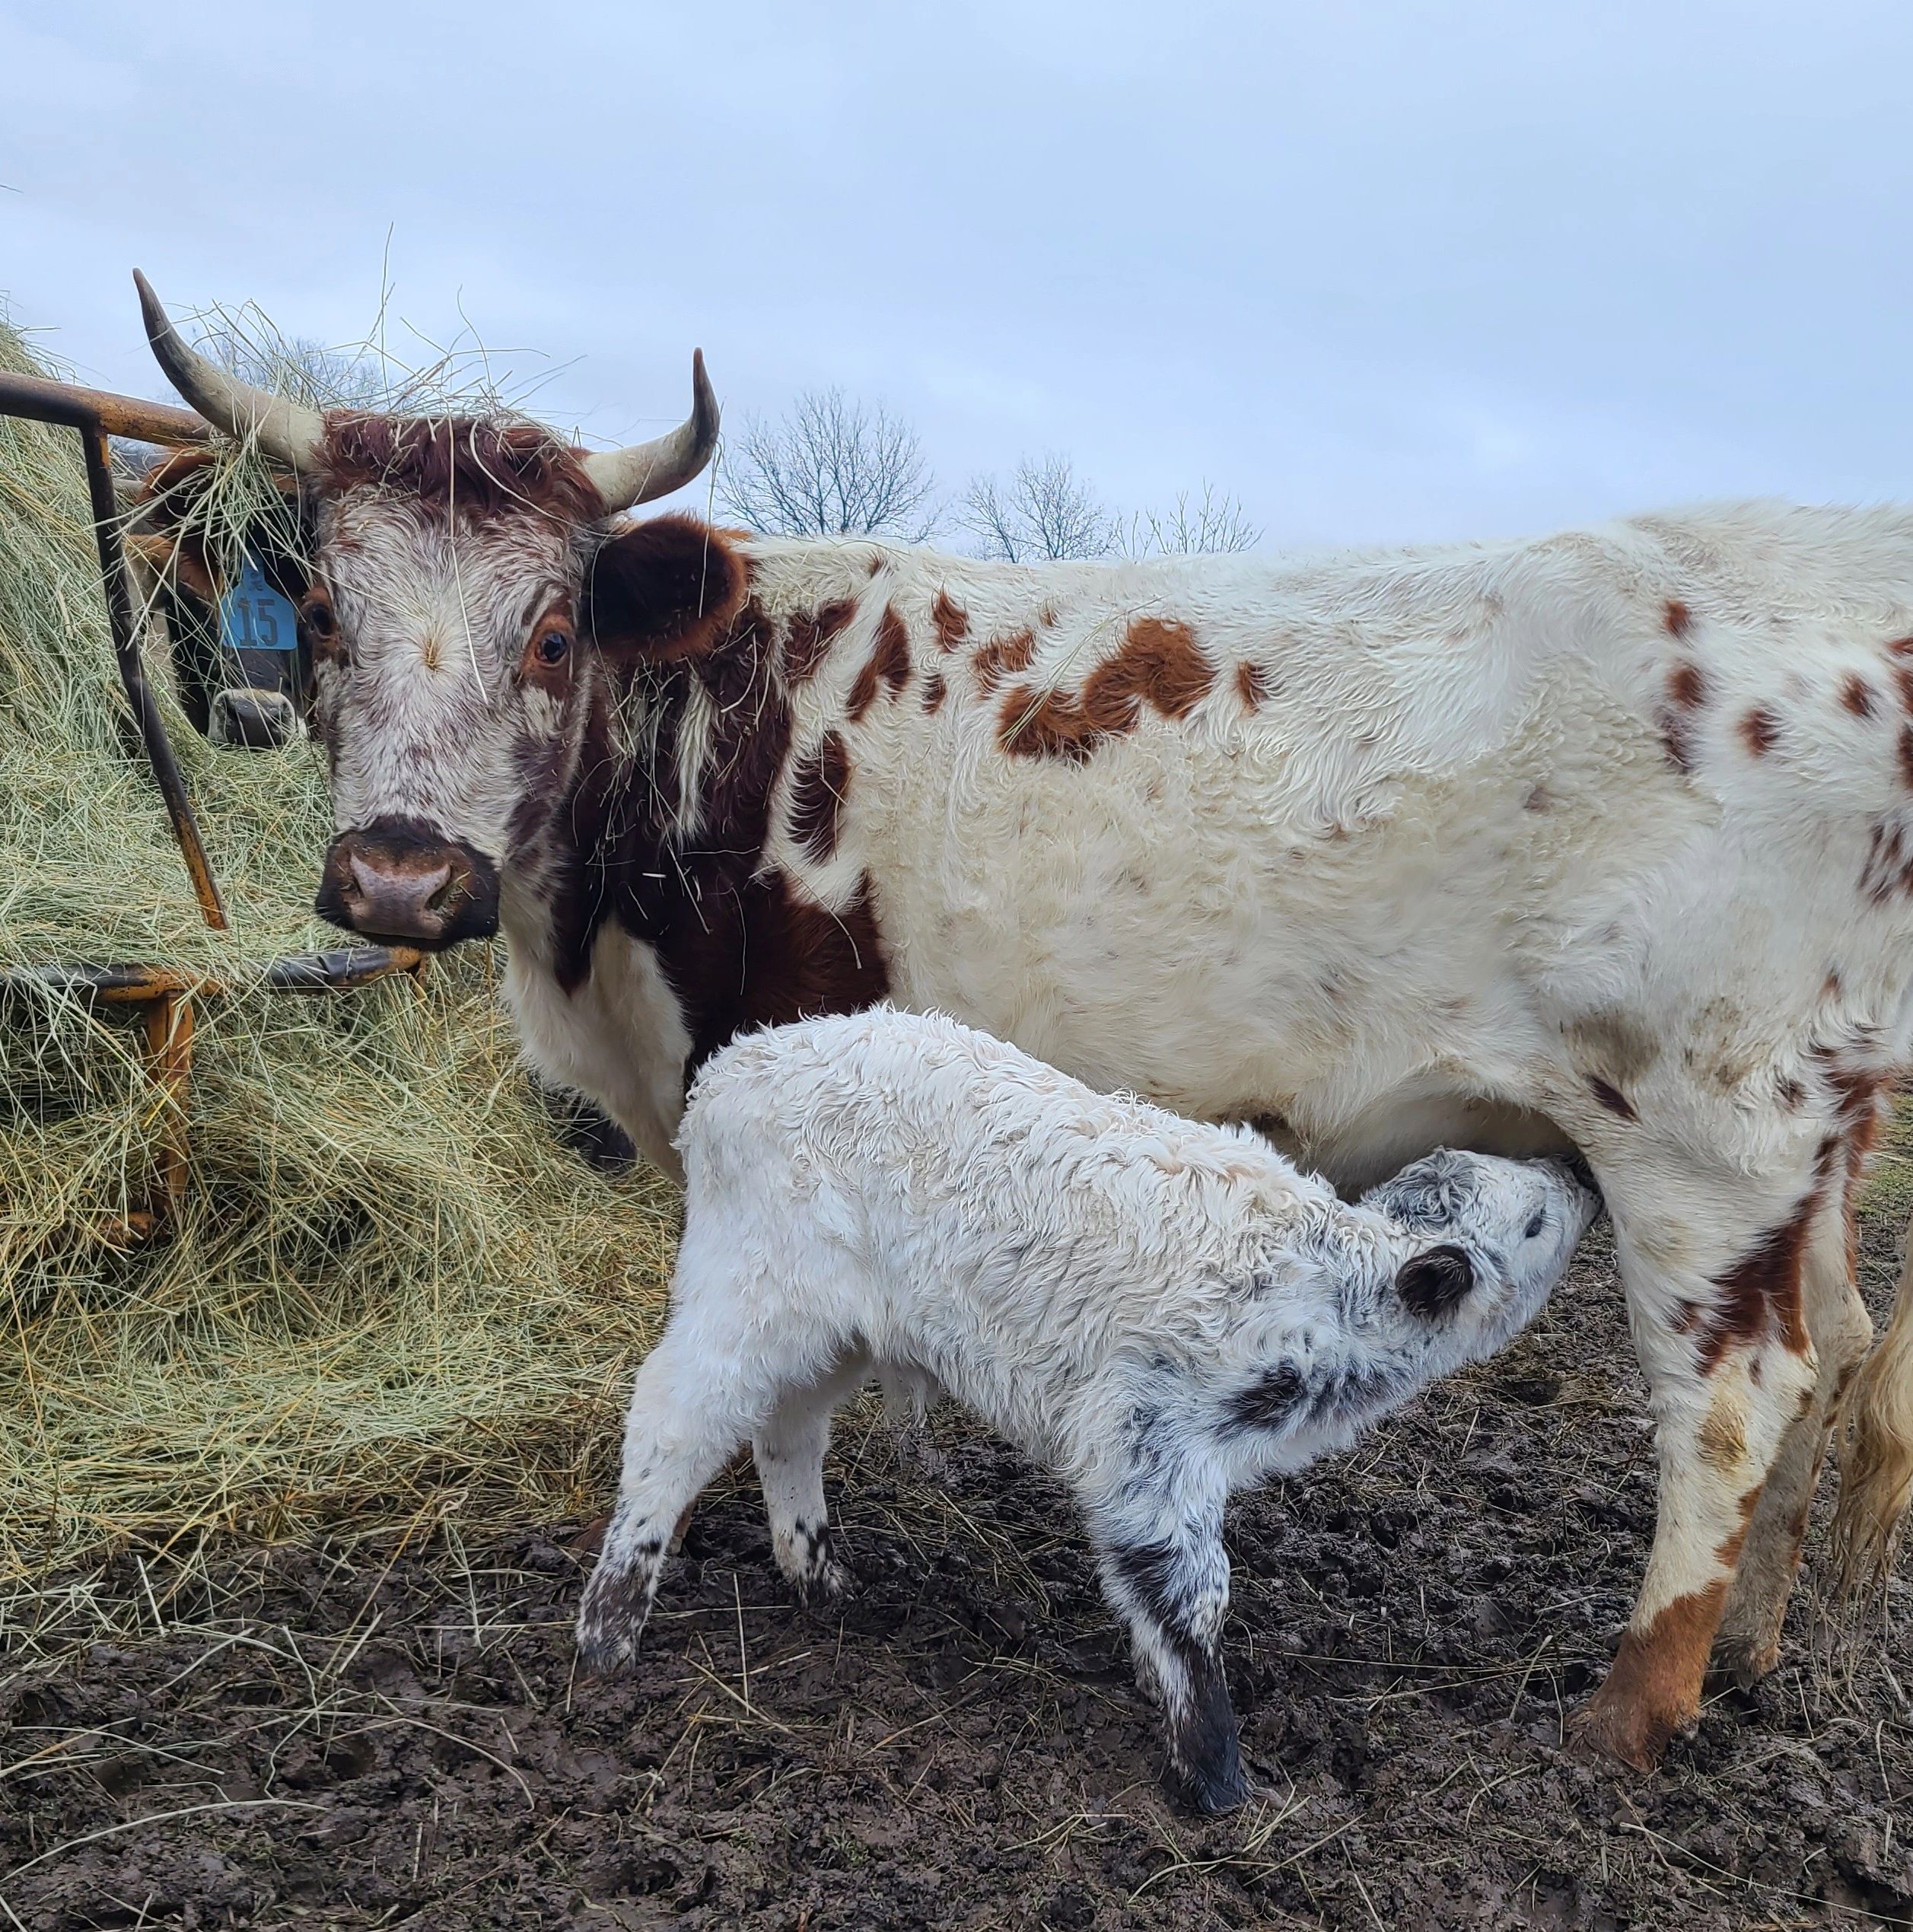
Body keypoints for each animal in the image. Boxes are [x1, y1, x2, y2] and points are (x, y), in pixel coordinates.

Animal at [132, 270, 1913, 1776]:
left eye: (553, 630)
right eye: (327, 615)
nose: (401, 876)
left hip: (1704, 1143)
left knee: (1733, 1399)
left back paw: (1630, 1708)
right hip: (1808, 1149)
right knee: (1840, 1353)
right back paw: (1755, 1653)